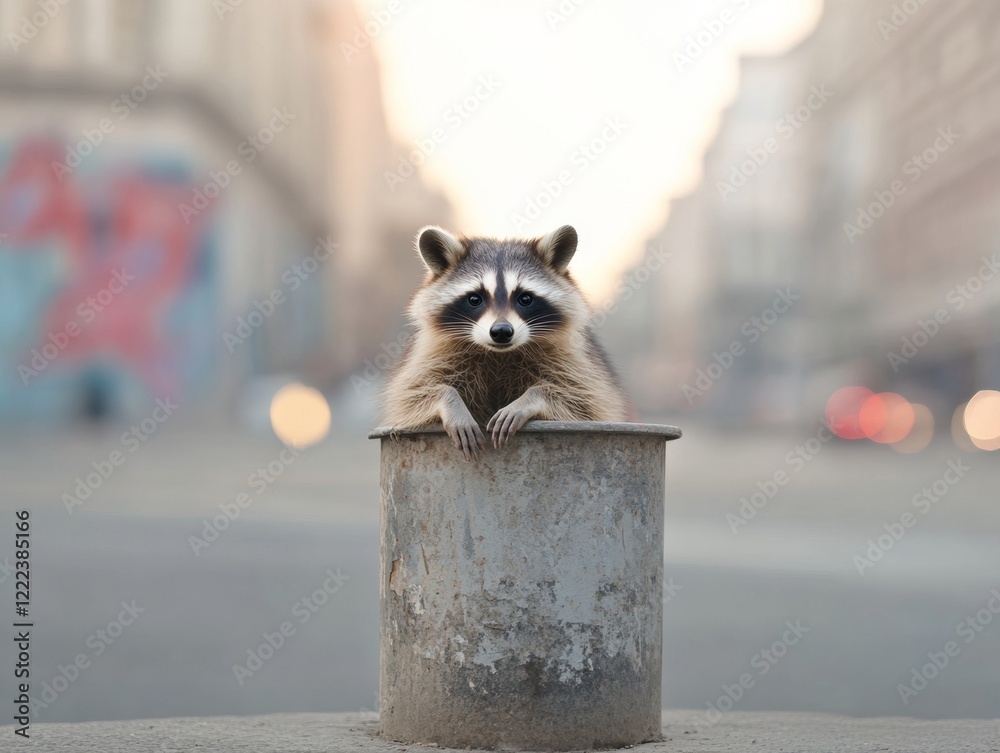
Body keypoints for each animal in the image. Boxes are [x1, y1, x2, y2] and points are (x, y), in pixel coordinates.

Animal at [381, 225, 629, 460]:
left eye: (525, 298)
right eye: (474, 299)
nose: (501, 332)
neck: (498, 353)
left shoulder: (574, 359)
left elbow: (583, 400)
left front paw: (530, 398)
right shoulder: (431, 352)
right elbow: (411, 394)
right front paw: (450, 401)